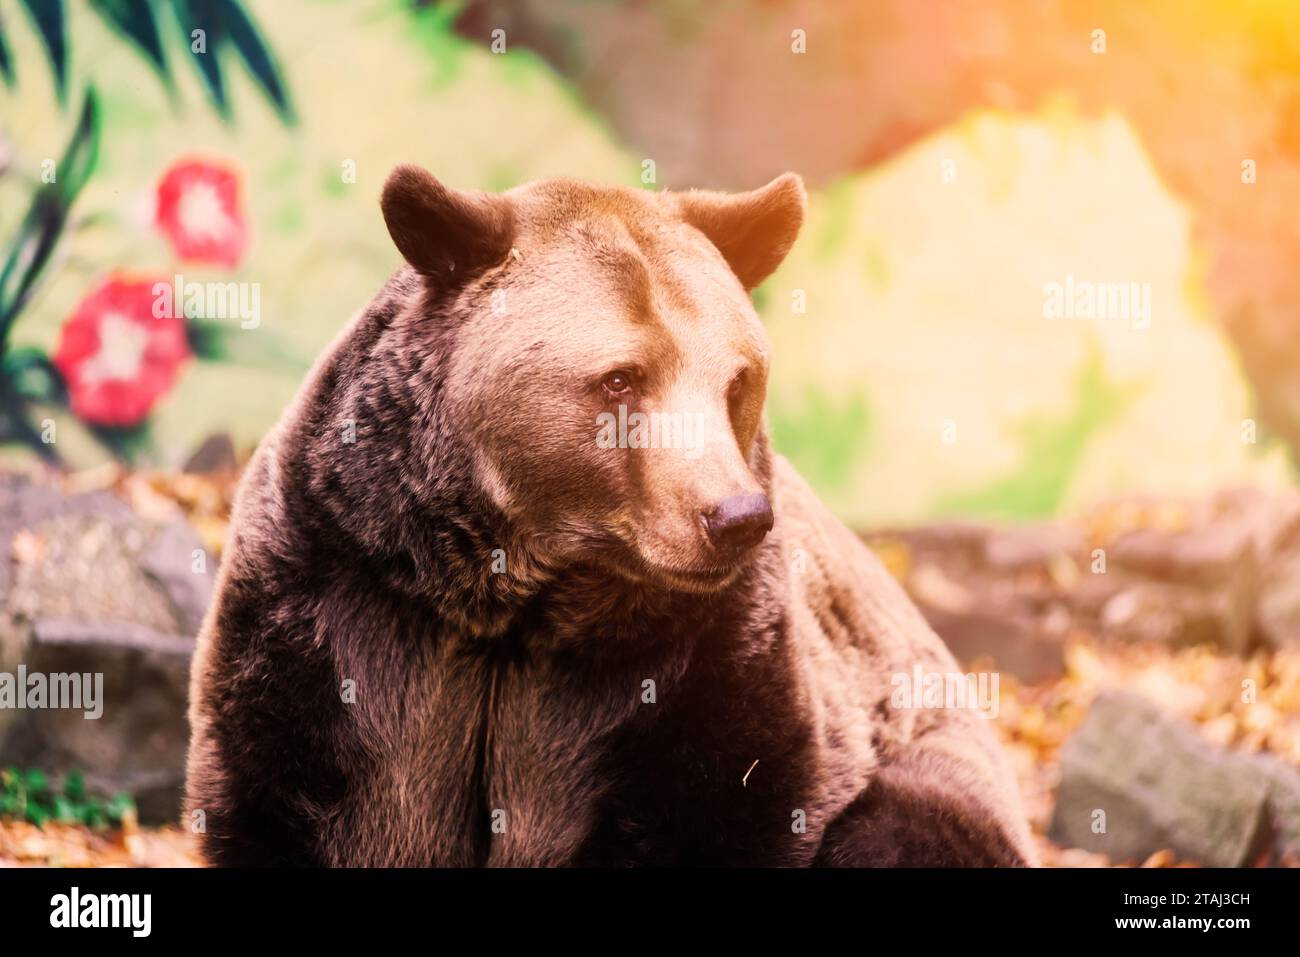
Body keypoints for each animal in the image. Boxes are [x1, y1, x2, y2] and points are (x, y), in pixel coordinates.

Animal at [184, 165, 1036, 867]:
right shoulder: (343, 597)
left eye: (738, 380)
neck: (514, 596)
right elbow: (284, 793)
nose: (733, 515)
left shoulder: (708, 656)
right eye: (622, 378)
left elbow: (734, 797)